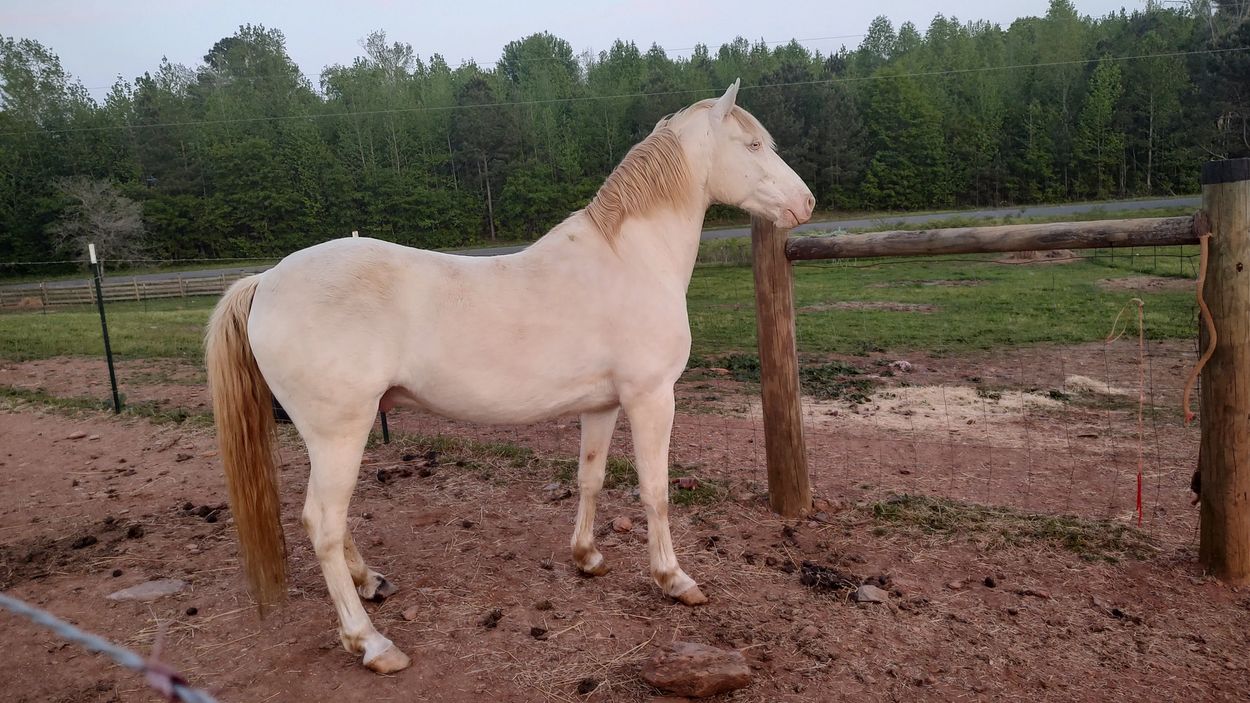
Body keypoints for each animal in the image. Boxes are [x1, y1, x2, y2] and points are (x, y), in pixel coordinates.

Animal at [205, 80, 814, 674]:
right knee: (323, 525)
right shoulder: (651, 398)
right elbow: (656, 491)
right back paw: (370, 642)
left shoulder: (603, 405)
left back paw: (372, 582)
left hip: (333, 436)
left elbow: (590, 478)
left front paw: (588, 558)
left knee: (334, 521)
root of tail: (267, 280)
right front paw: (673, 579)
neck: (629, 260)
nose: (806, 203)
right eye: (752, 145)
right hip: (340, 432)